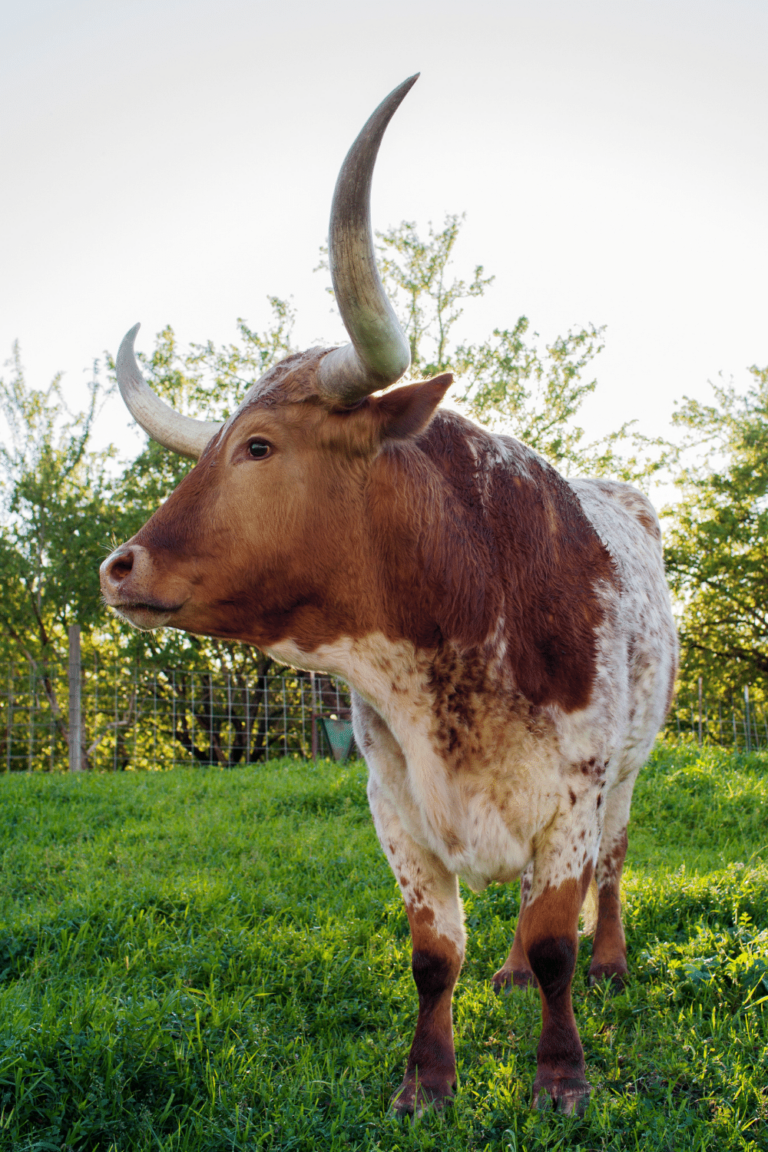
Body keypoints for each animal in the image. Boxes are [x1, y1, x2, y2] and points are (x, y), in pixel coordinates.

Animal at [100, 75, 678, 1117]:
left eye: (258, 447)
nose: (119, 568)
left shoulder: (572, 797)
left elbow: (558, 938)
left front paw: (561, 1077)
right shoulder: (396, 808)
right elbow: (435, 954)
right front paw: (426, 1082)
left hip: (629, 771)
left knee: (610, 872)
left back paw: (610, 960)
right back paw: (509, 976)